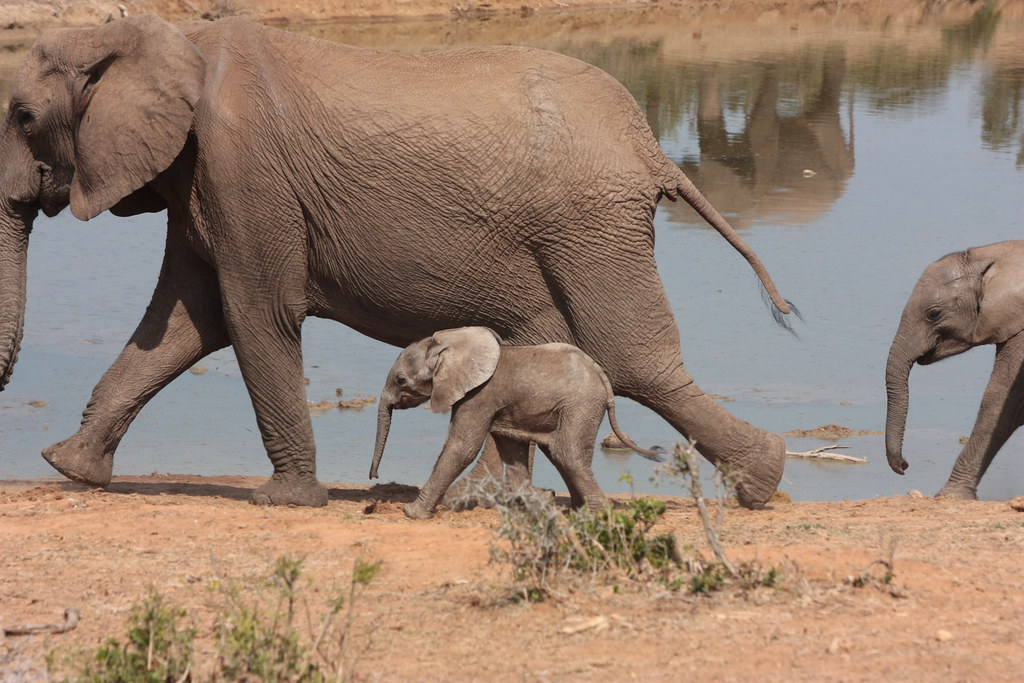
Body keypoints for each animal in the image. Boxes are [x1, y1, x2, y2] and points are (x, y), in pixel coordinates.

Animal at [369, 327, 666, 519]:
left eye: (400, 380)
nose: (374, 476)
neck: (449, 344)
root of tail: (601, 374)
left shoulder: (480, 396)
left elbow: (462, 447)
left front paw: (411, 514)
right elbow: (511, 453)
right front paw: (536, 501)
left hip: (581, 404)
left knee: (566, 453)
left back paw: (598, 515)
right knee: (562, 454)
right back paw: (575, 510)